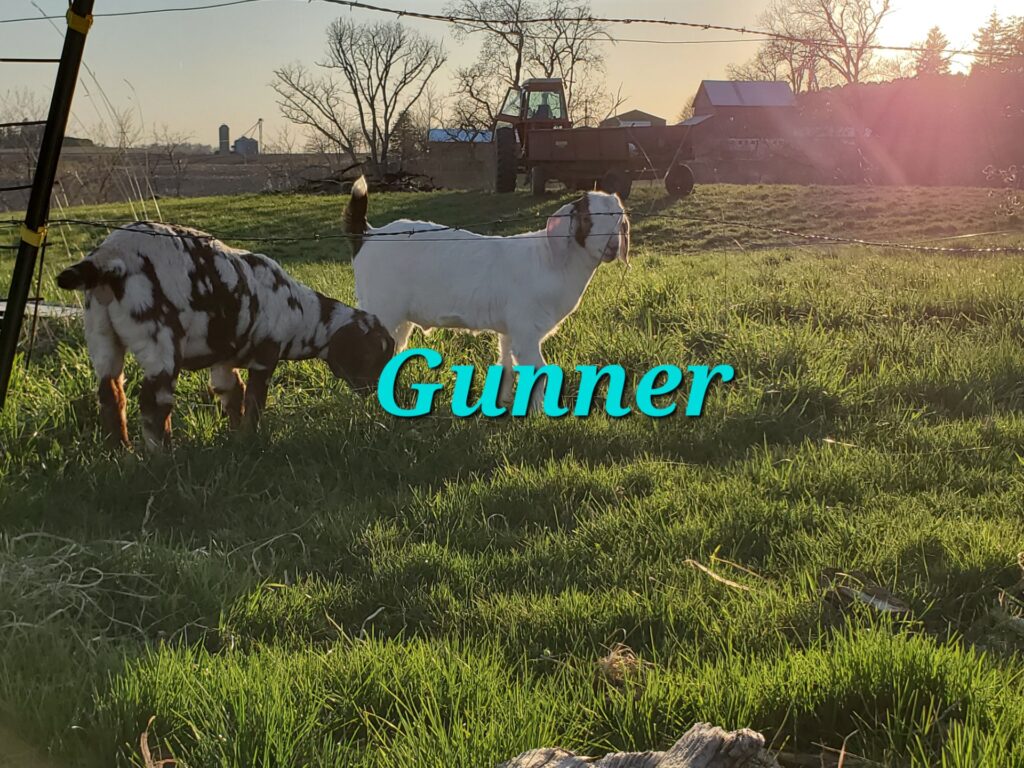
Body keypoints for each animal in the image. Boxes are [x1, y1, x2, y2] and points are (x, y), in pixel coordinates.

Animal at [57, 221, 394, 450]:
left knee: (111, 394)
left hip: (101, 338)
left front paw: (234, 438)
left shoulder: (223, 361)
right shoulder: (265, 358)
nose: (374, 393)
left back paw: (120, 453)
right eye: (376, 355)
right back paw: (162, 457)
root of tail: (109, 257)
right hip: (159, 342)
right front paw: (248, 439)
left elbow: (232, 394)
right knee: (155, 403)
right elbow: (255, 402)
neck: (299, 309)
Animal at [342, 176, 630, 412]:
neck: (552, 260)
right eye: (587, 219)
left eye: (619, 221)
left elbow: (507, 365)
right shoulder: (526, 328)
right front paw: (537, 414)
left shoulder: (511, 329)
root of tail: (368, 235)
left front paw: (502, 404)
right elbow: (538, 370)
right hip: (381, 305)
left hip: (397, 316)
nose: (612, 247)